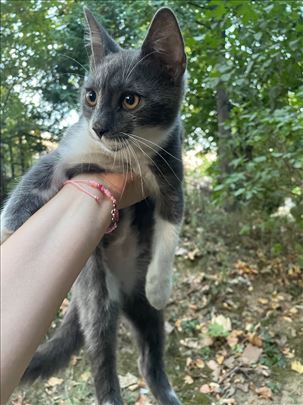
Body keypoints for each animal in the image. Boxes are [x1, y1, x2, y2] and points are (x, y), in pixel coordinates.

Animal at [1, 7, 186, 404]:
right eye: (90, 96)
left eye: (131, 100)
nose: (99, 127)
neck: (120, 157)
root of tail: (122, 291)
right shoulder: (66, 152)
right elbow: (29, 186)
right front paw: (7, 235)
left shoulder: (171, 167)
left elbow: (171, 223)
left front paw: (160, 285)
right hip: (93, 288)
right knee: (101, 350)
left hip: (139, 306)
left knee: (148, 353)